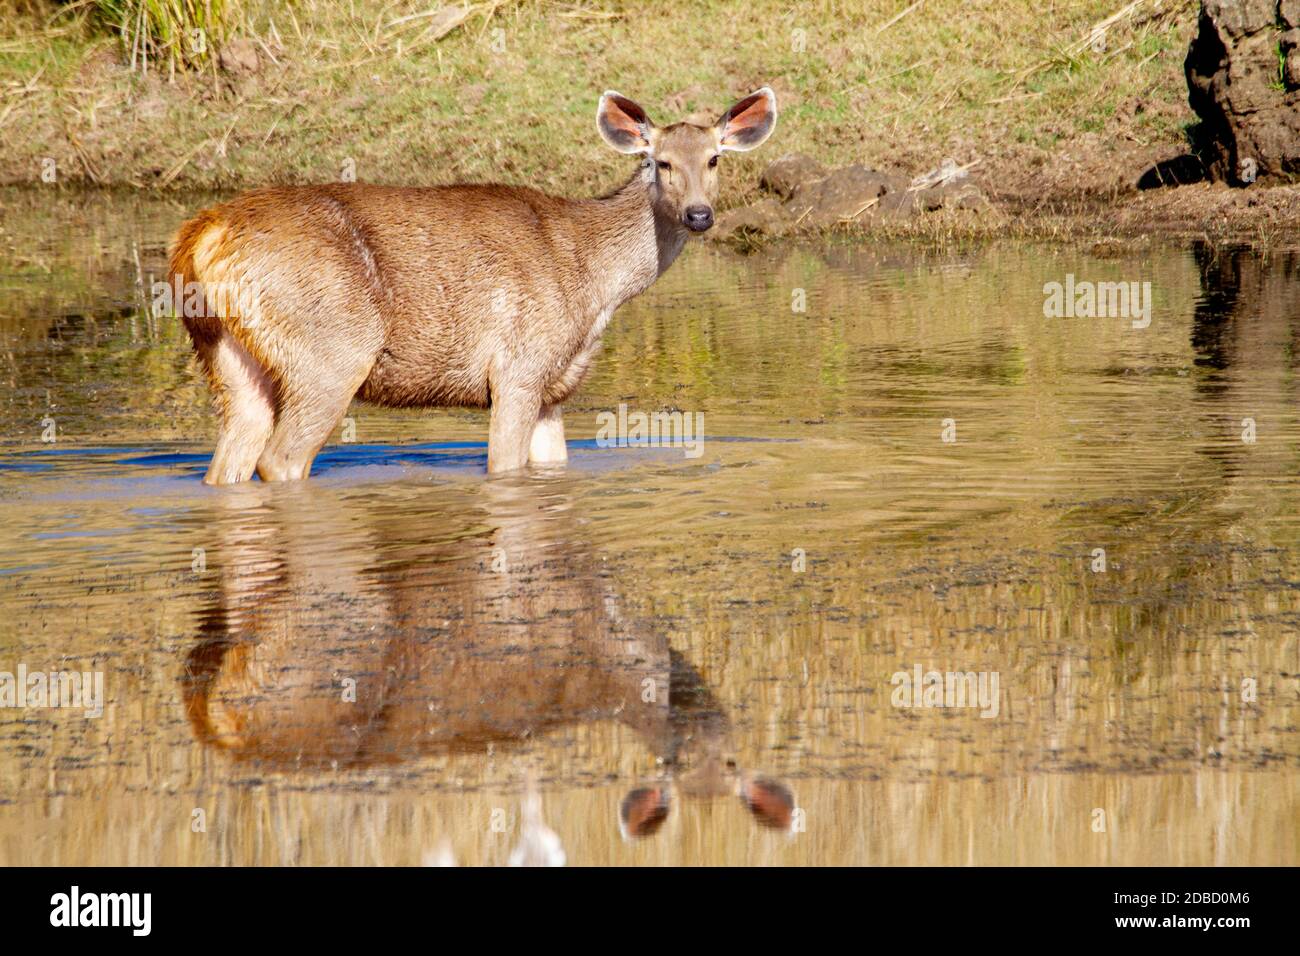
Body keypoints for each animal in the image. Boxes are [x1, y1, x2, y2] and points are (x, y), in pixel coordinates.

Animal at [169, 88, 778, 485]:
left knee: (226, 466)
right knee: (280, 460)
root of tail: (201, 237)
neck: (594, 283)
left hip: (227, 356)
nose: (700, 215)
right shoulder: (519, 366)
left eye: (715, 159)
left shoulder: (556, 388)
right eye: (661, 163)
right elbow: (503, 469)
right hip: (331, 349)